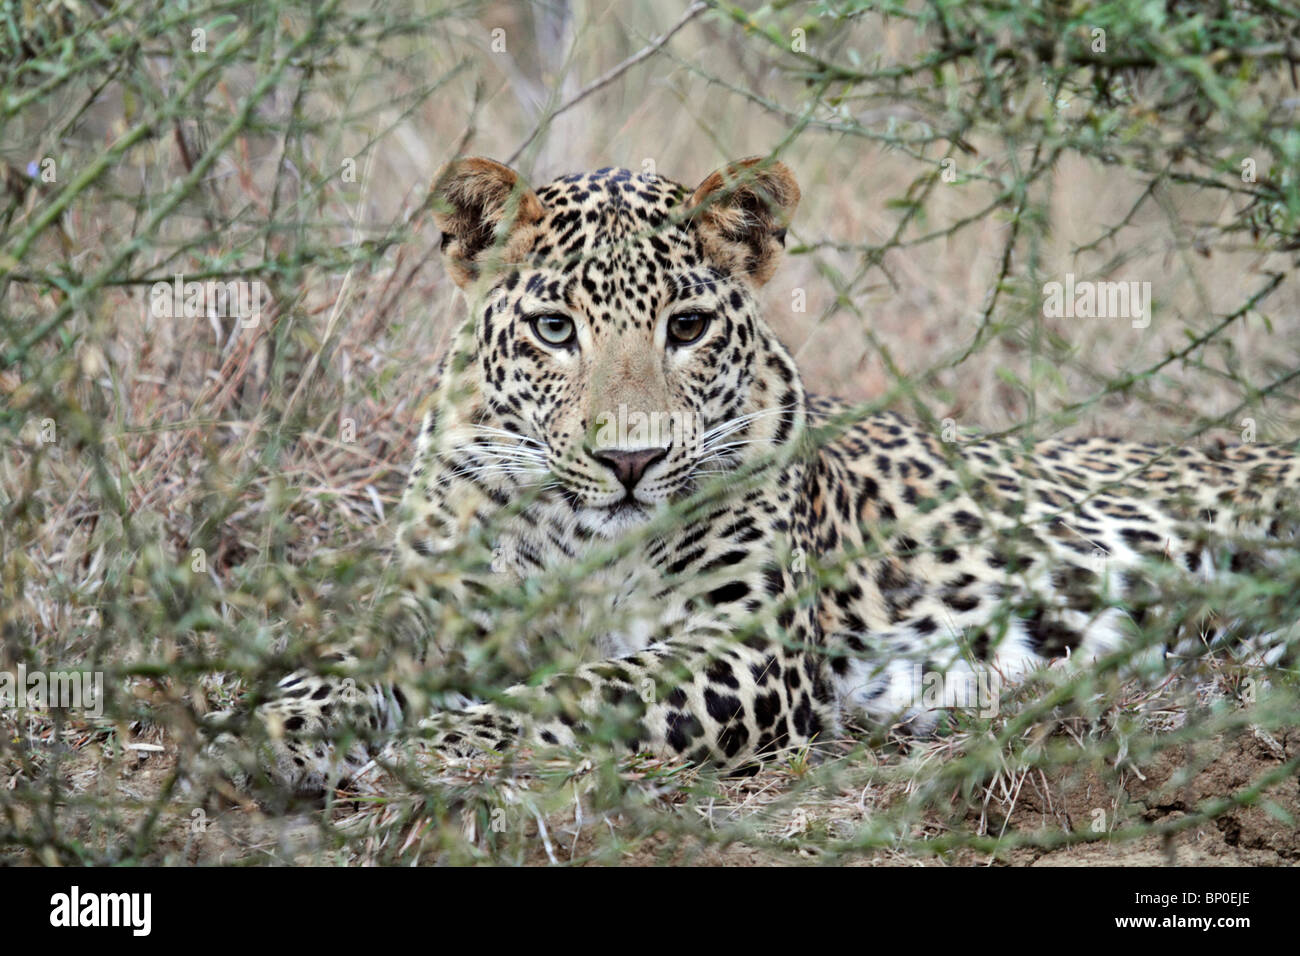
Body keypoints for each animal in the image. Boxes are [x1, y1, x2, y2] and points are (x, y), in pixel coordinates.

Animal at [207, 156, 1300, 795]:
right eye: (554, 328)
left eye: (686, 327)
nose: (631, 459)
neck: (576, 535)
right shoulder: (433, 601)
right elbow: (340, 665)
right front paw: (267, 725)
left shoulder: (746, 648)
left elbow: (581, 685)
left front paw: (437, 745)